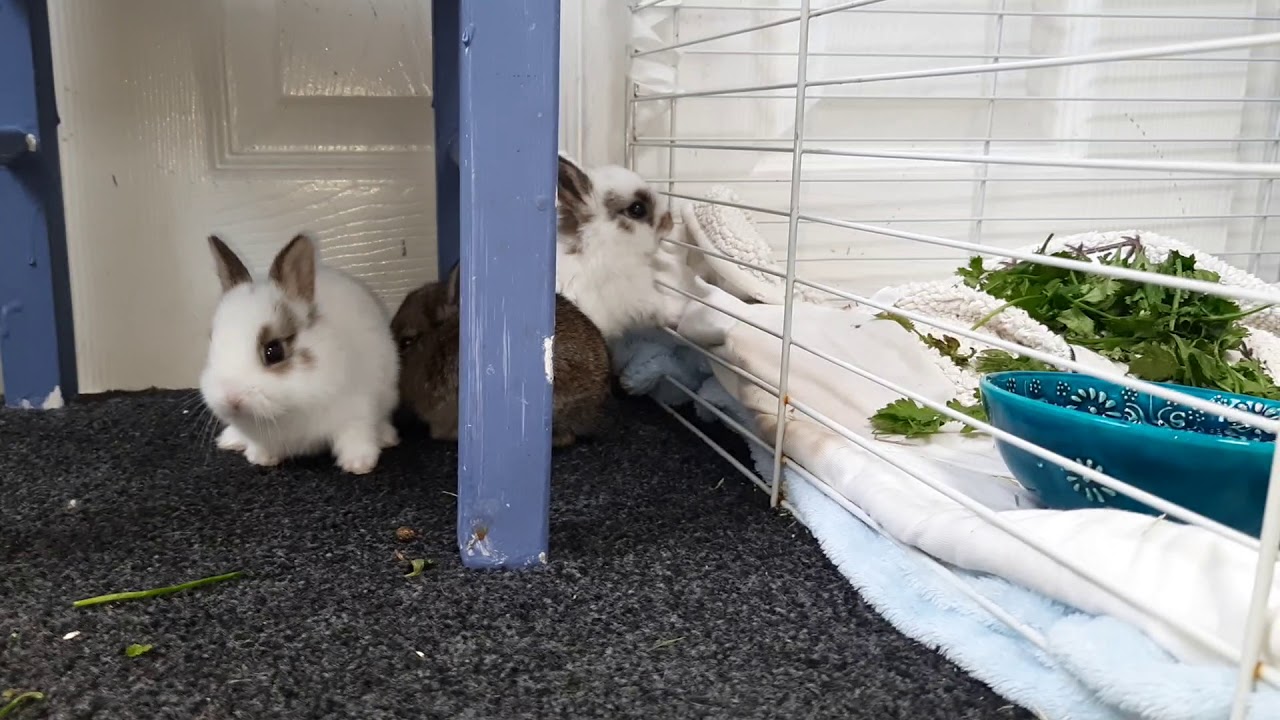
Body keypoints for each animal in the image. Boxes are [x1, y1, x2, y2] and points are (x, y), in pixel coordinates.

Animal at [200, 234, 400, 475]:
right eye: (212, 343)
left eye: (274, 351)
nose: (231, 399)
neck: (287, 410)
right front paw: (263, 458)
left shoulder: (357, 409)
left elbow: (355, 435)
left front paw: (359, 464)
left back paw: (387, 438)